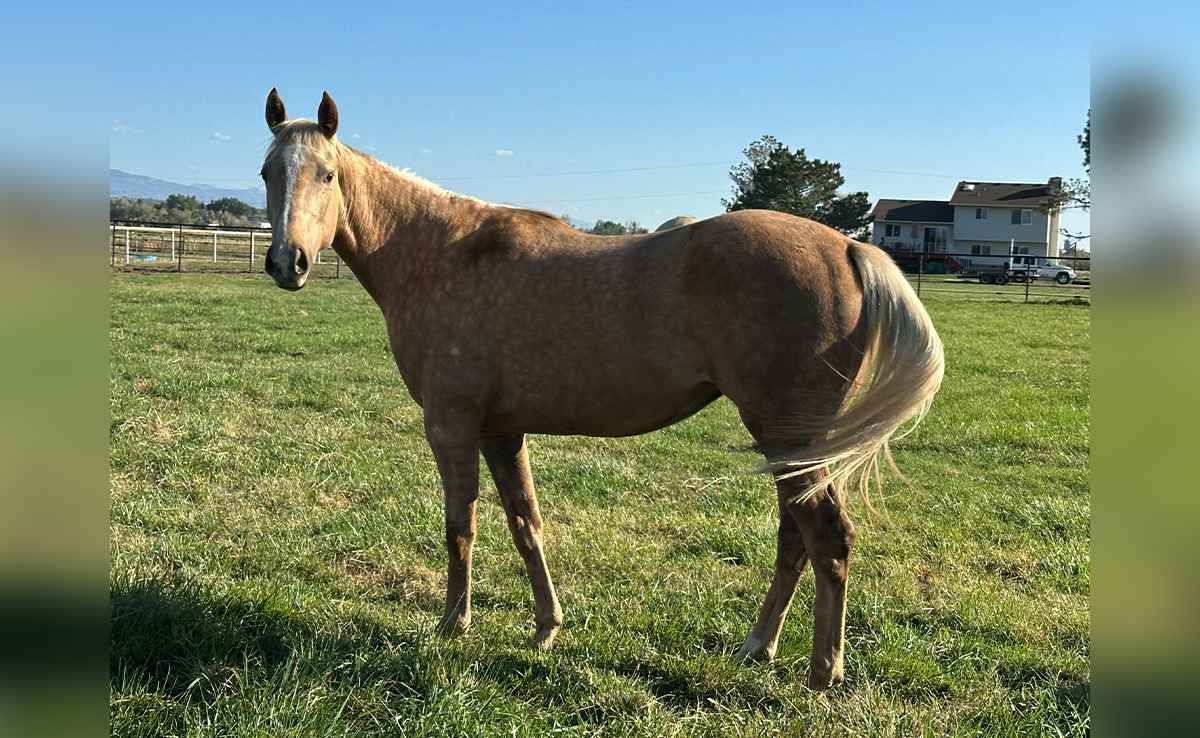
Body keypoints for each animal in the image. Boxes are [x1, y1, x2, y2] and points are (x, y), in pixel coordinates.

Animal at [258, 89, 943, 690]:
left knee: (827, 540)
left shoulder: (451, 424)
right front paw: (545, 628)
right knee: (796, 540)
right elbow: (525, 522)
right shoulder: (501, 431)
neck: (438, 254)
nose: (287, 262)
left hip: (786, 436)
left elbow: (461, 526)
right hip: (797, 447)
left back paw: (823, 671)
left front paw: (454, 625)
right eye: (267, 172)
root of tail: (848, 248)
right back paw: (759, 647)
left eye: (325, 175)